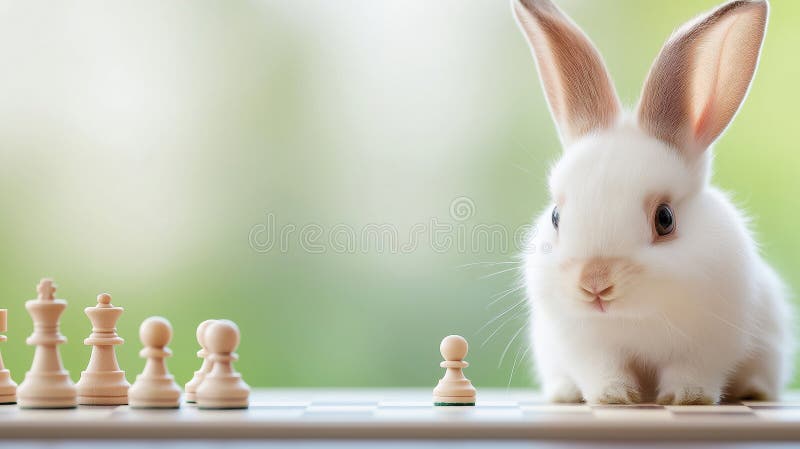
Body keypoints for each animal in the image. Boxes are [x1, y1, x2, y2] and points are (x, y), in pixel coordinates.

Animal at [512, 0, 793, 405]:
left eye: (665, 219)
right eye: (555, 216)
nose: (595, 283)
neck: (637, 315)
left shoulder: (705, 347)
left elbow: (691, 373)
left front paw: (685, 399)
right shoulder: (589, 348)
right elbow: (604, 371)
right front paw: (615, 398)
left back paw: (753, 390)